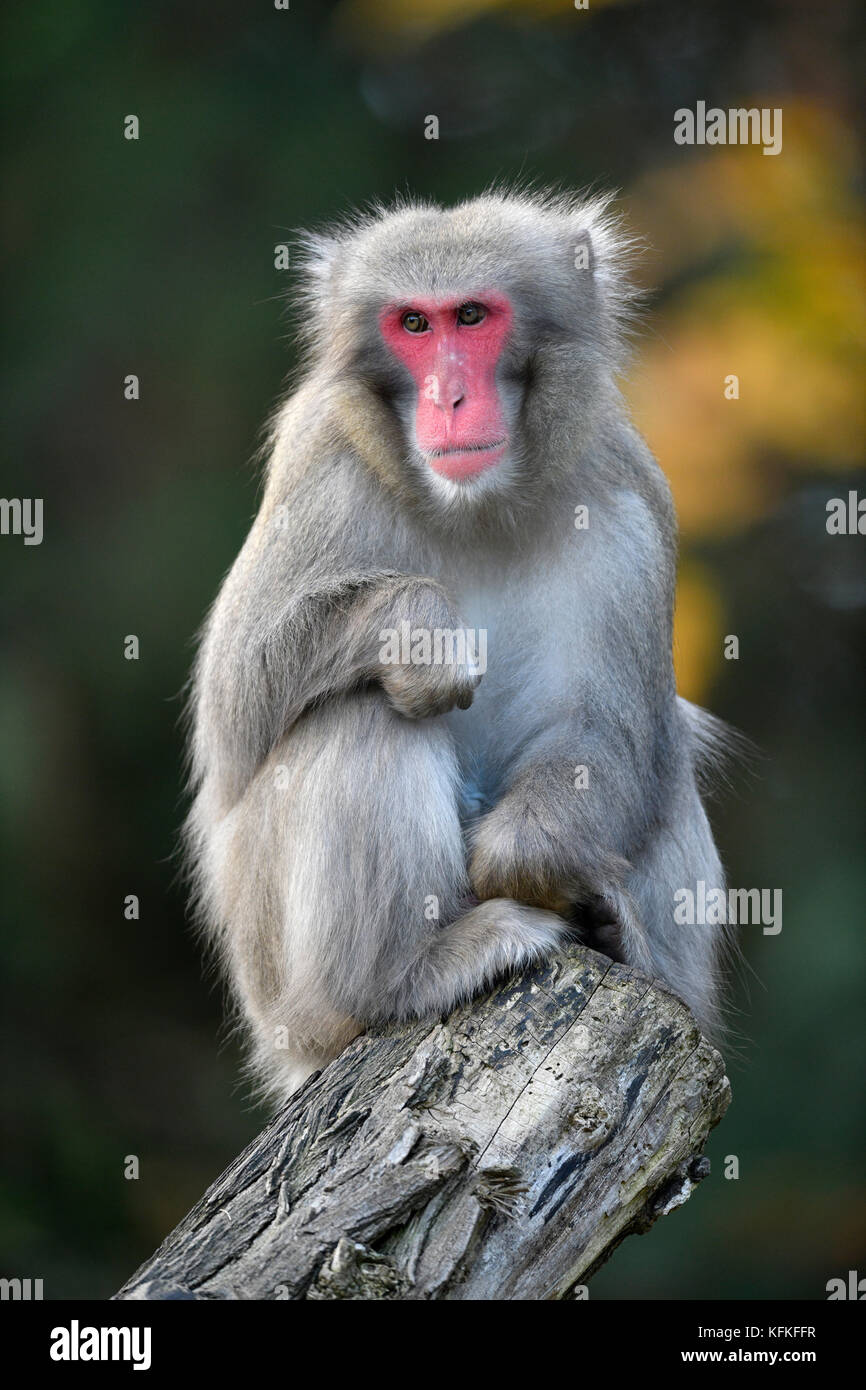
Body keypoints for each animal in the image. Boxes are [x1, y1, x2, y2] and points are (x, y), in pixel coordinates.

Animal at [186, 188, 730, 1102]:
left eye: (471, 317)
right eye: (413, 323)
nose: (447, 398)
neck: (474, 506)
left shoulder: (624, 500)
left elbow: (612, 733)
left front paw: (524, 863)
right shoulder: (321, 463)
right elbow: (235, 713)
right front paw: (421, 630)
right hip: (277, 989)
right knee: (365, 711)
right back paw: (401, 975)